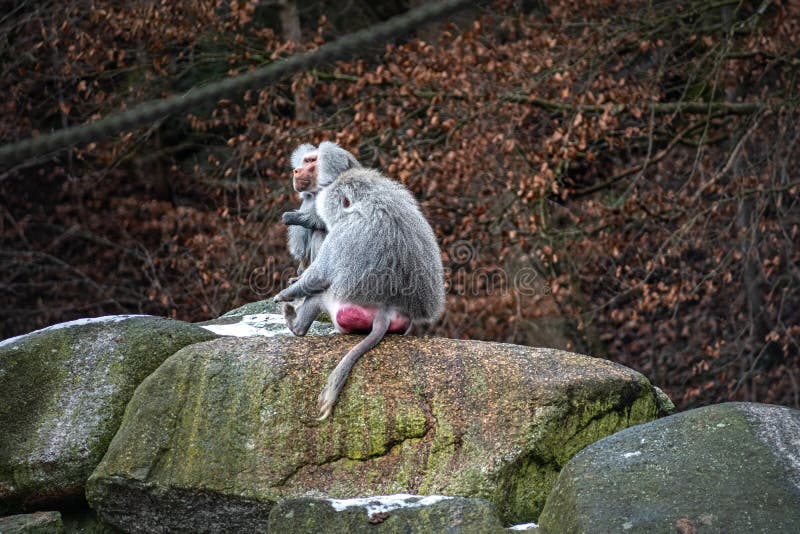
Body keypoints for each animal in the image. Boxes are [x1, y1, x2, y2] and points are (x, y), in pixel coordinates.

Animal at [274, 168, 445, 420]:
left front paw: (284, 295)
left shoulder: (342, 232)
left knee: (318, 295)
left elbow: (319, 277)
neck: (371, 201)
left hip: (343, 308)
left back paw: (295, 324)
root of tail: (386, 311)